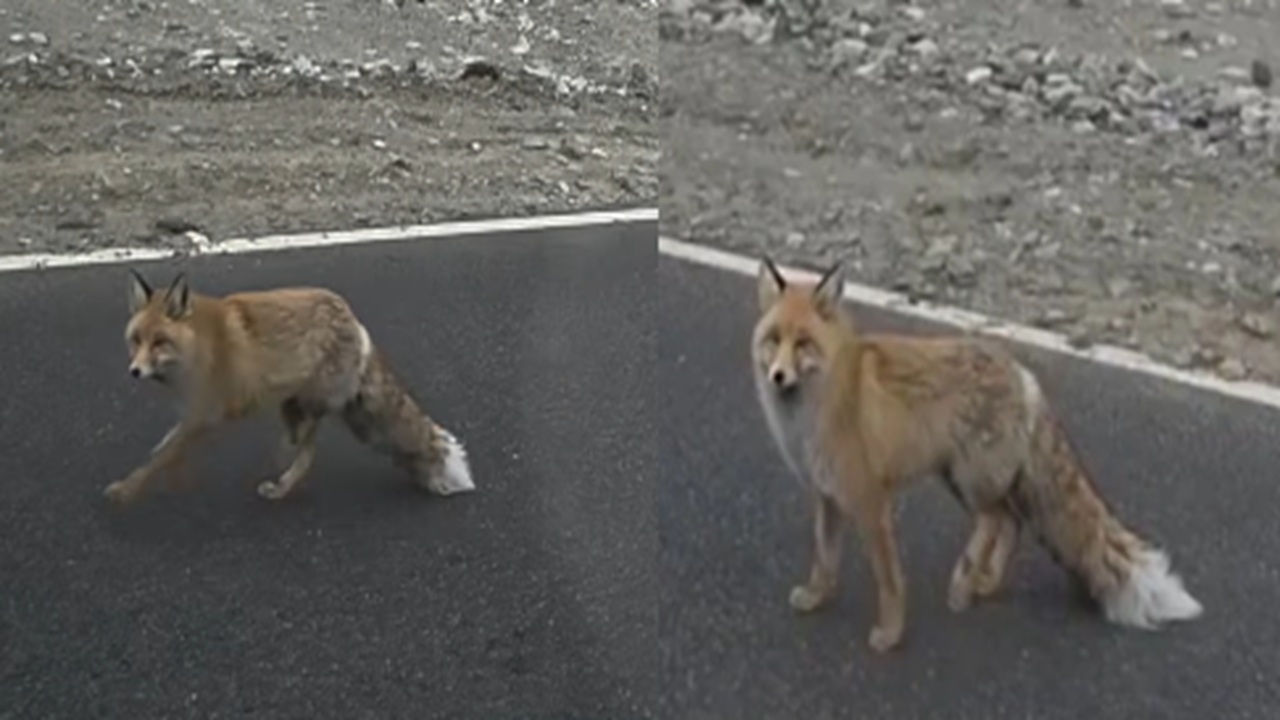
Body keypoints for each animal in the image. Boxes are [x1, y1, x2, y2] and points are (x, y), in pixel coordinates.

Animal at [106, 270, 475, 506]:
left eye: (159, 342)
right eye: (136, 340)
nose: (133, 371)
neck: (199, 346)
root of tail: (354, 320)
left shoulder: (205, 414)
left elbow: (161, 459)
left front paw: (125, 490)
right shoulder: (192, 414)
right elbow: (165, 448)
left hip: (304, 407)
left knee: (307, 453)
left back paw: (281, 482)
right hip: (293, 406)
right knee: (304, 449)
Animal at [750, 256, 1202, 653]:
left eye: (803, 344)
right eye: (773, 340)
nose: (777, 376)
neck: (817, 410)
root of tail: (1024, 376)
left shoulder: (871, 501)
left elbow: (889, 580)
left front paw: (891, 635)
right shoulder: (827, 497)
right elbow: (824, 560)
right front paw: (816, 597)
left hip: (968, 477)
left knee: (995, 520)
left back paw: (964, 581)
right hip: (960, 478)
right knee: (1011, 522)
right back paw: (982, 583)